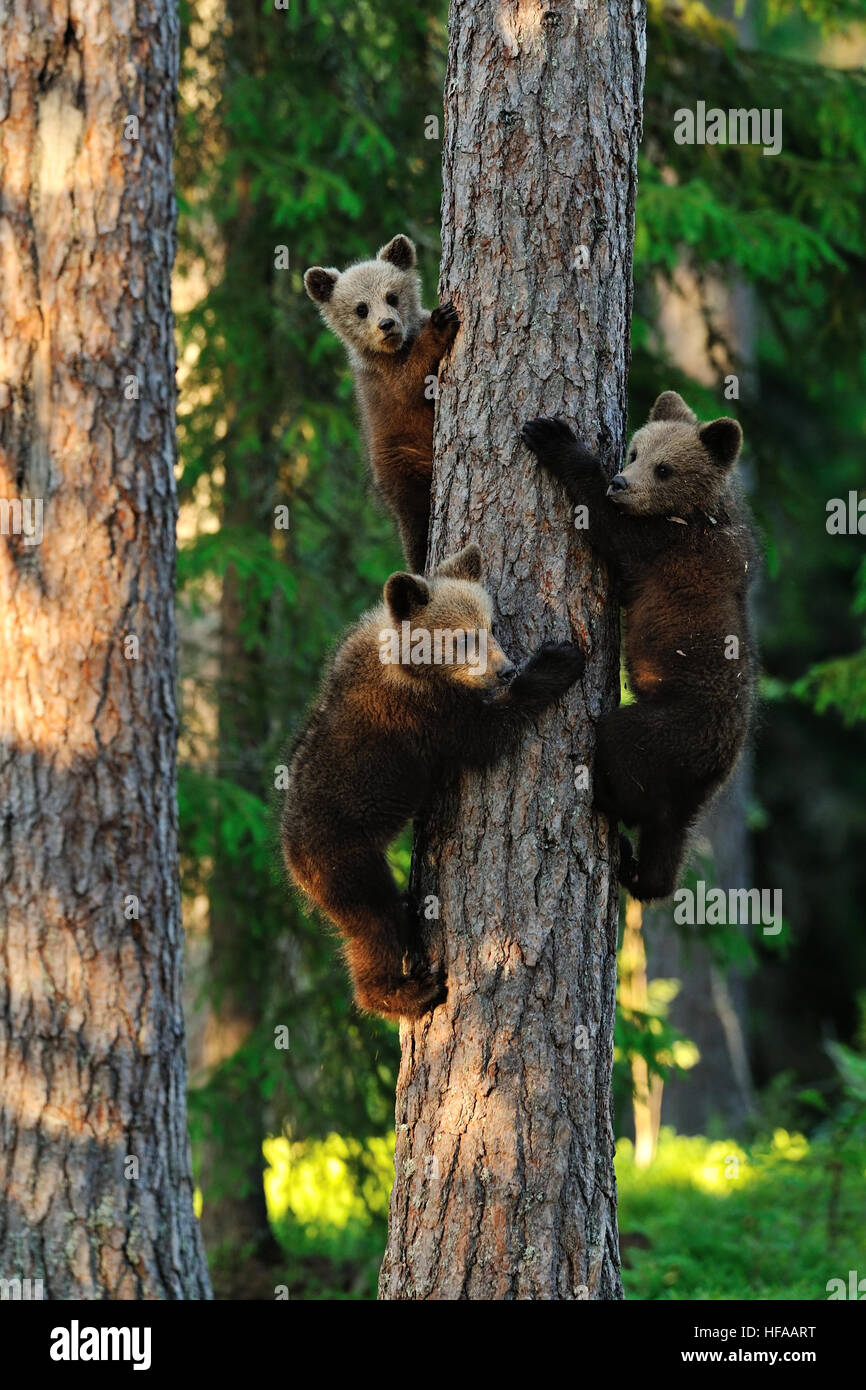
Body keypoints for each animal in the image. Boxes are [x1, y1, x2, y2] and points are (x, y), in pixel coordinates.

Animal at [281, 543, 585, 1020]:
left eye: (490, 626)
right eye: (462, 638)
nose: (505, 670)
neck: (409, 666)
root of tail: (291, 858)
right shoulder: (421, 715)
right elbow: (483, 734)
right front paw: (558, 660)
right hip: (344, 860)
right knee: (374, 922)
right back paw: (407, 990)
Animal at [304, 234, 459, 573]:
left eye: (392, 295)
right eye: (361, 308)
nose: (386, 325)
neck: (397, 349)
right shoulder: (386, 385)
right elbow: (411, 382)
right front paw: (441, 322)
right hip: (403, 465)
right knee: (414, 525)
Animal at [520, 390, 758, 902]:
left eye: (664, 468)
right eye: (634, 451)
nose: (620, 482)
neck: (694, 512)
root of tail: (720, 762)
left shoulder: (665, 545)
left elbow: (609, 528)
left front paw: (553, 437)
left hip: (672, 727)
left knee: (624, 747)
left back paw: (606, 799)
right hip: (689, 780)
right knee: (668, 836)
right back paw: (639, 870)